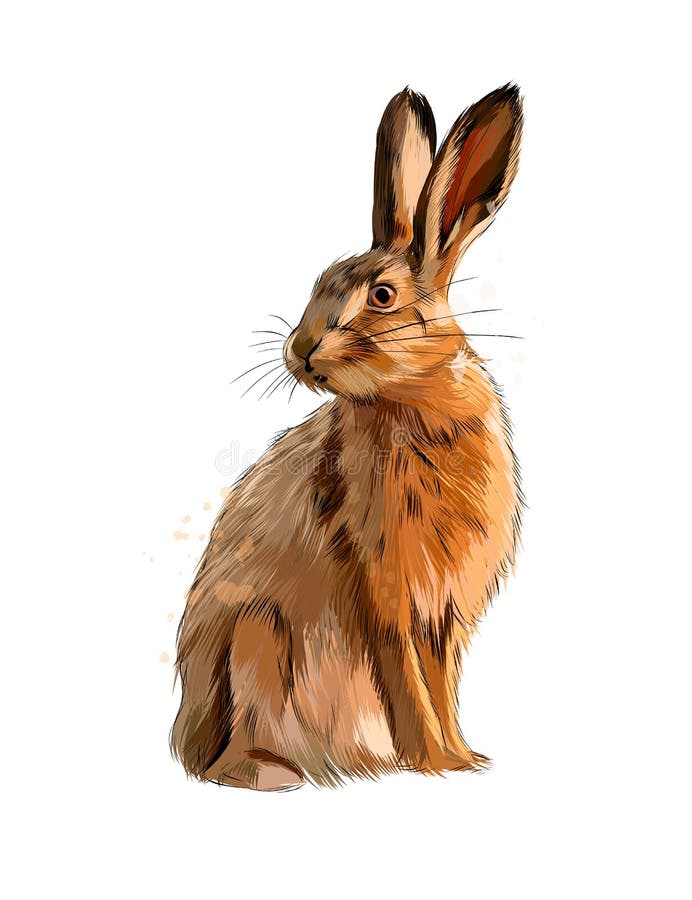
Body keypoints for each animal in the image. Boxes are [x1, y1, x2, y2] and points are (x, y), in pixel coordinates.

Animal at [171, 84, 524, 791]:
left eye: (382, 296)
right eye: (317, 283)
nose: (300, 352)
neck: (412, 402)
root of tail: (188, 741)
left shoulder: (441, 617)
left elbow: (440, 688)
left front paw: (463, 759)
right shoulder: (382, 593)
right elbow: (408, 688)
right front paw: (433, 764)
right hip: (257, 639)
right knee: (228, 760)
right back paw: (275, 774)